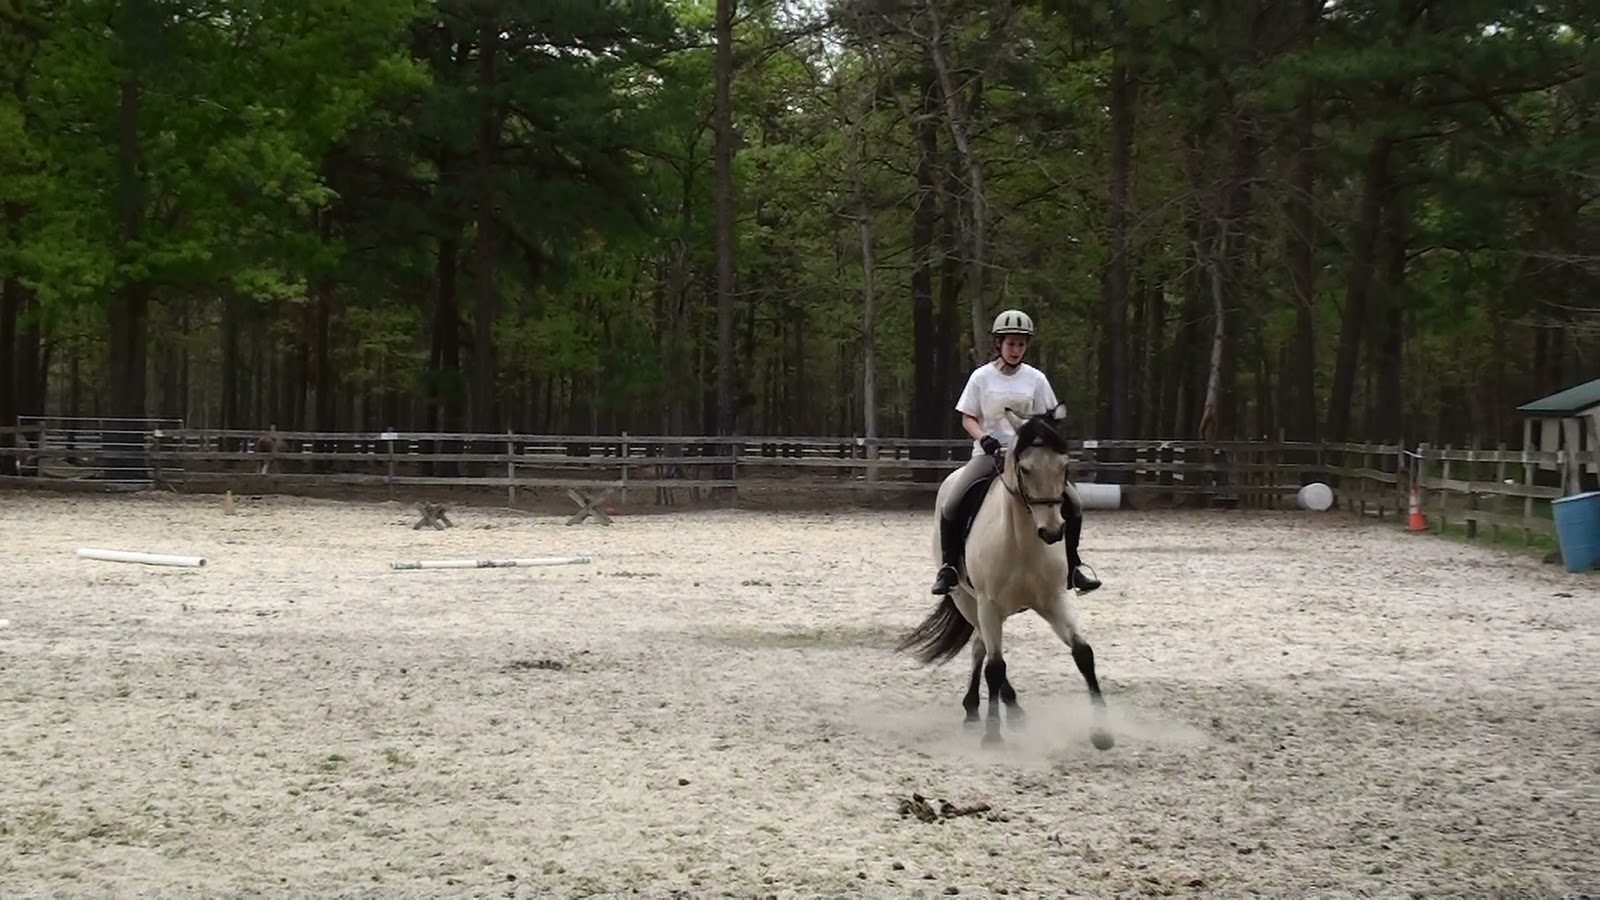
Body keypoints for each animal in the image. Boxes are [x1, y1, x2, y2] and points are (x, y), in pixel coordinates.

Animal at [896, 404, 1115, 751]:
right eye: (1025, 468)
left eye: (1064, 465)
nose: (1052, 531)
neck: (1022, 542)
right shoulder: (988, 604)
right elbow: (995, 668)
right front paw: (992, 735)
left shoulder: (1053, 600)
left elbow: (1084, 653)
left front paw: (1102, 732)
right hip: (967, 601)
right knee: (983, 650)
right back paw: (984, 708)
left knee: (980, 647)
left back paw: (996, 708)